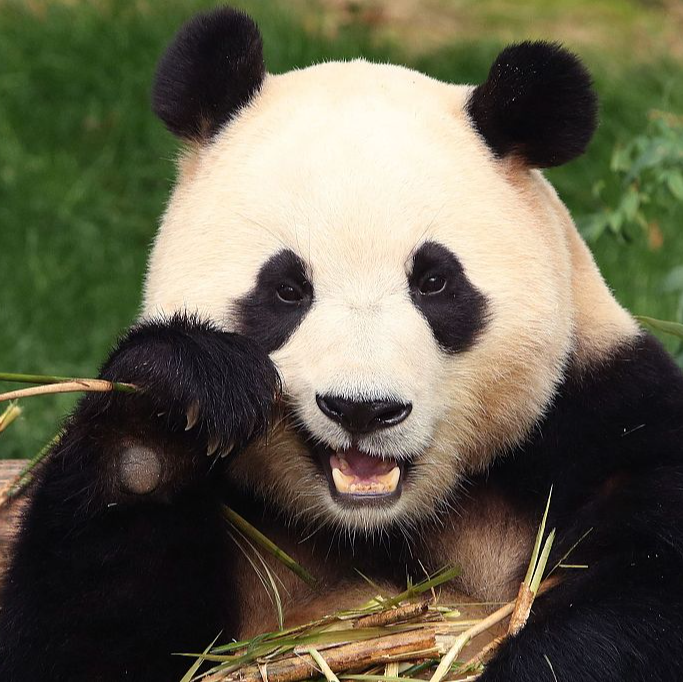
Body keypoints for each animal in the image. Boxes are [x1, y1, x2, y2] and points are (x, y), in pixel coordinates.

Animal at [2, 5, 683, 682]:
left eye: (434, 282)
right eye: (287, 289)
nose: (363, 409)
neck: (375, 526)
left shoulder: (602, 419)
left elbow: (637, 596)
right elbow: (80, 636)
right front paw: (167, 411)